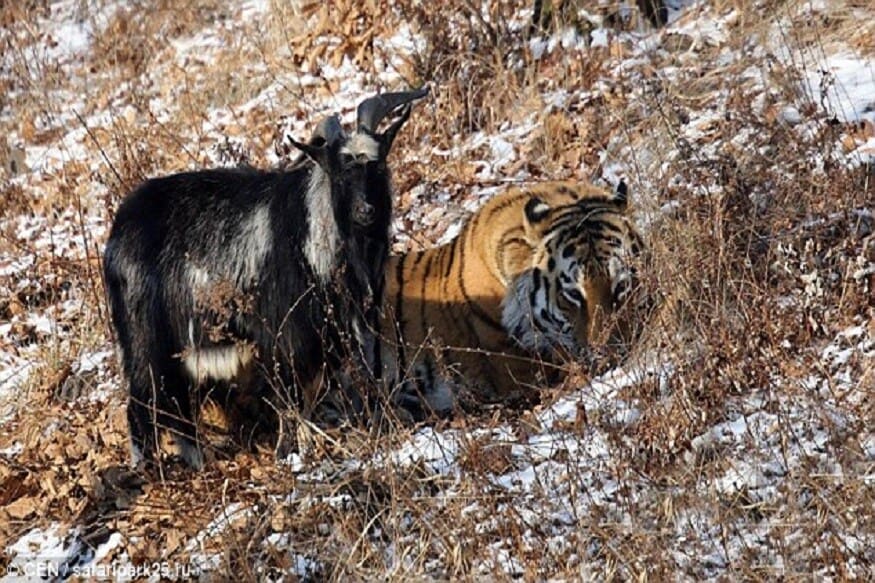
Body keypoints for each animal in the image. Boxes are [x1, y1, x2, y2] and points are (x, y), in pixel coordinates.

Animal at [103, 89, 427, 469]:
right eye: (340, 173)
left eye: (376, 166)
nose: (366, 211)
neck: (311, 231)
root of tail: (118, 232)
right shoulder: (284, 336)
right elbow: (291, 401)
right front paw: (292, 455)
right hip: (145, 339)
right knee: (143, 404)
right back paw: (148, 470)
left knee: (177, 407)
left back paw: (198, 462)